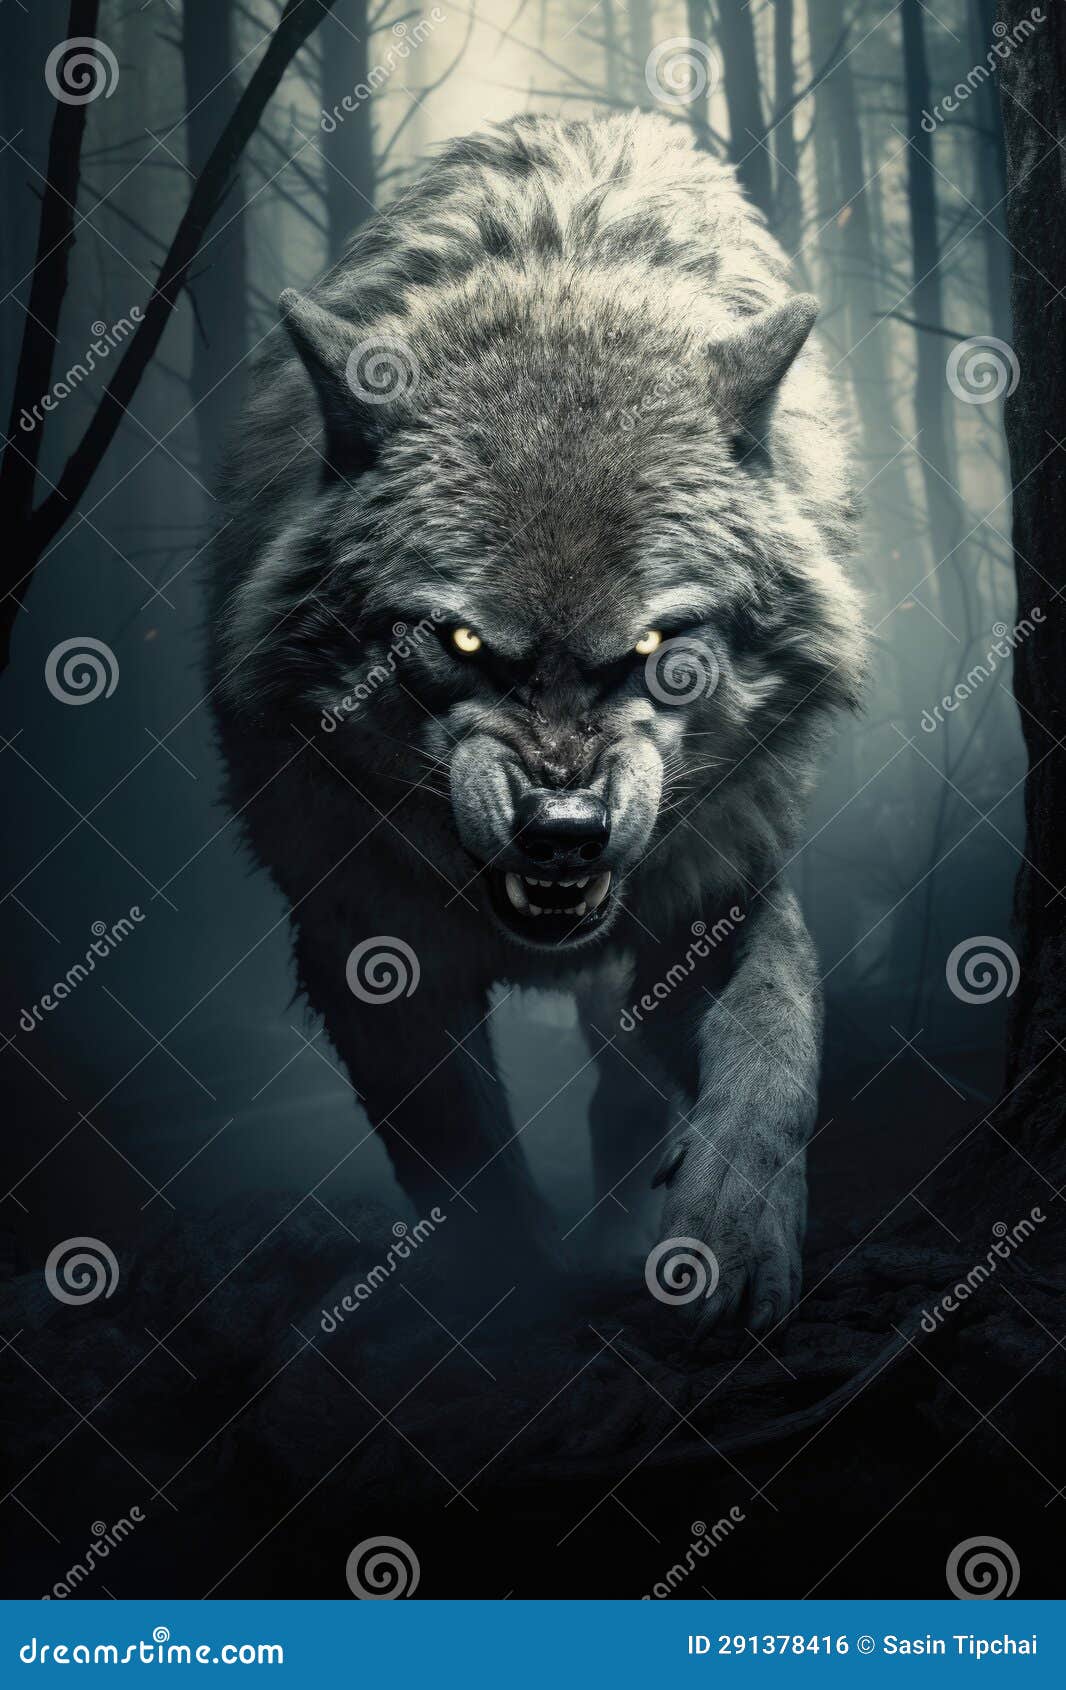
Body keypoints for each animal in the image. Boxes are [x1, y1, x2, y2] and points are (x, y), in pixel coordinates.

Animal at [208, 112, 864, 1336]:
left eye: (657, 649)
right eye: (461, 643)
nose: (564, 831)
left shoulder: (719, 882)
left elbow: (777, 1033)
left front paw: (729, 1236)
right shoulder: (362, 940)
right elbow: (463, 1161)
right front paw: (510, 1299)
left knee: (625, 1090)